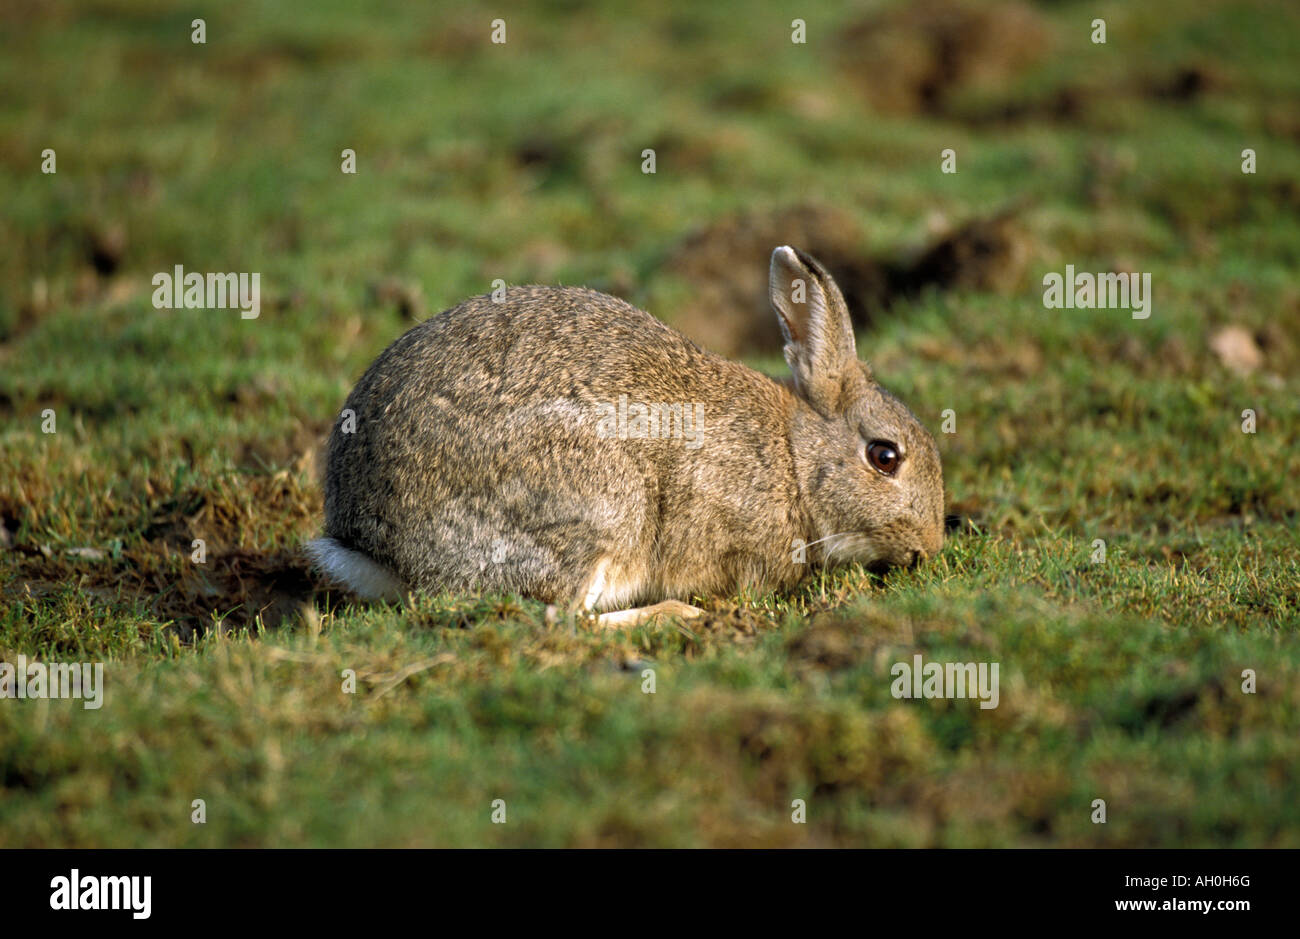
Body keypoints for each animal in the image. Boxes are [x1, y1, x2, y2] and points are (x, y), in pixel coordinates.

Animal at [306, 246, 945, 626]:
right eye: (884, 456)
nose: (928, 549)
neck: (793, 460)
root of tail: (375, 545)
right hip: (599, 509)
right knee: (565, 617)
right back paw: (675, 614)